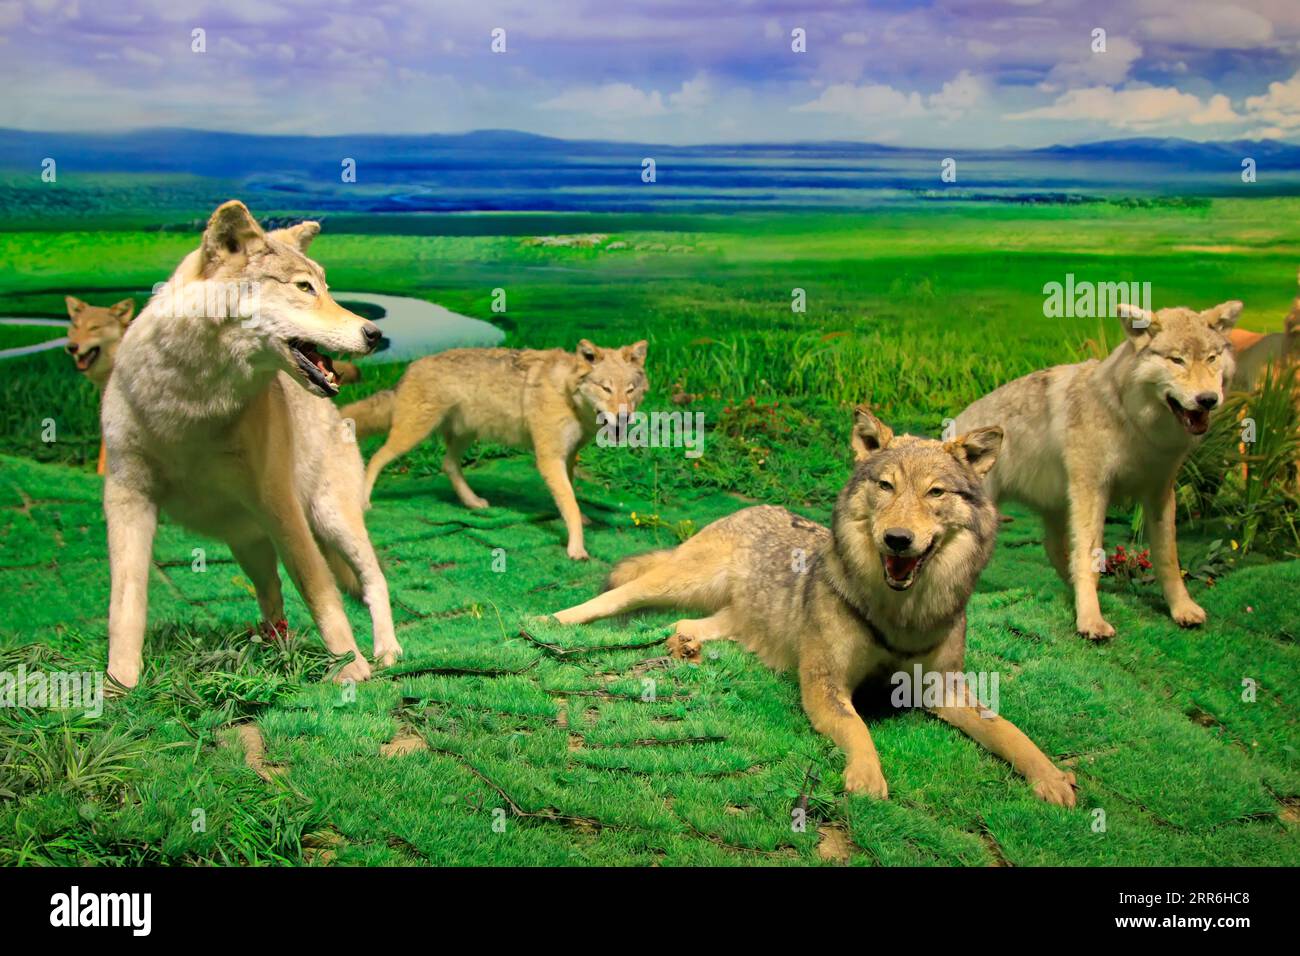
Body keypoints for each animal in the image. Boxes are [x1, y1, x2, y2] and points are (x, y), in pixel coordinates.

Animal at [100, 200, 401, 689]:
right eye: (305, 288)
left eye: (326, 288)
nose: (374, 334)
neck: (192, 405)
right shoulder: (127, 498)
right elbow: (124, 604)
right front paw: (120, 685)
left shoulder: (280, 501)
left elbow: (321, 595)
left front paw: (352, 669)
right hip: (250, 544)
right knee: (273, 599)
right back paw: (272, 653)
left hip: (330, 519)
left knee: (374, 581)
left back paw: (386, 650)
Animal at [341, 340, 648, 560]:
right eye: (606, 389)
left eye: (630, 390)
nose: (624, 417)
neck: (565, 394)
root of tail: (411, 367)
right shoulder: (549, 459)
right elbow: (569, 503)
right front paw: (577, 549)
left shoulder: (568, 456)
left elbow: (570, 498)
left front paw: (581, 521)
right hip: (411, 436)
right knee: (376, 458)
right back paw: (364, 502)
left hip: (464, 436)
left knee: (448, 465)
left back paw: (472, 503)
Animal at [551, 407, 1077, 806]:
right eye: (886, 486)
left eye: (935, 492)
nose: (898, 539)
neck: (901, 613)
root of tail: (752, 507)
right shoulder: (826, 689)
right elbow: (860, 729)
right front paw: (867, 776)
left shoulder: (947, 690)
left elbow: (1010, 731)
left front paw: (1051, 776)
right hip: (672, 582)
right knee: (610, 597)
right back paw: (549, 622)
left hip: (730, 617)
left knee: (688, 623)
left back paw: (684, 646)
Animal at [954, 301, 1241, 640]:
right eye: (1177, 360)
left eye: (1211, 358)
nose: (1208, 399)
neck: (1132, 422)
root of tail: (954, 426)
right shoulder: (1092, 490)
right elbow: (1089, 557)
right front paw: (1091, 620)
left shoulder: (1160, 492)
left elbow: (1168, 557)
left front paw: (1181, 608)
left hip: (1058, 509)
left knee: (1053, 549)